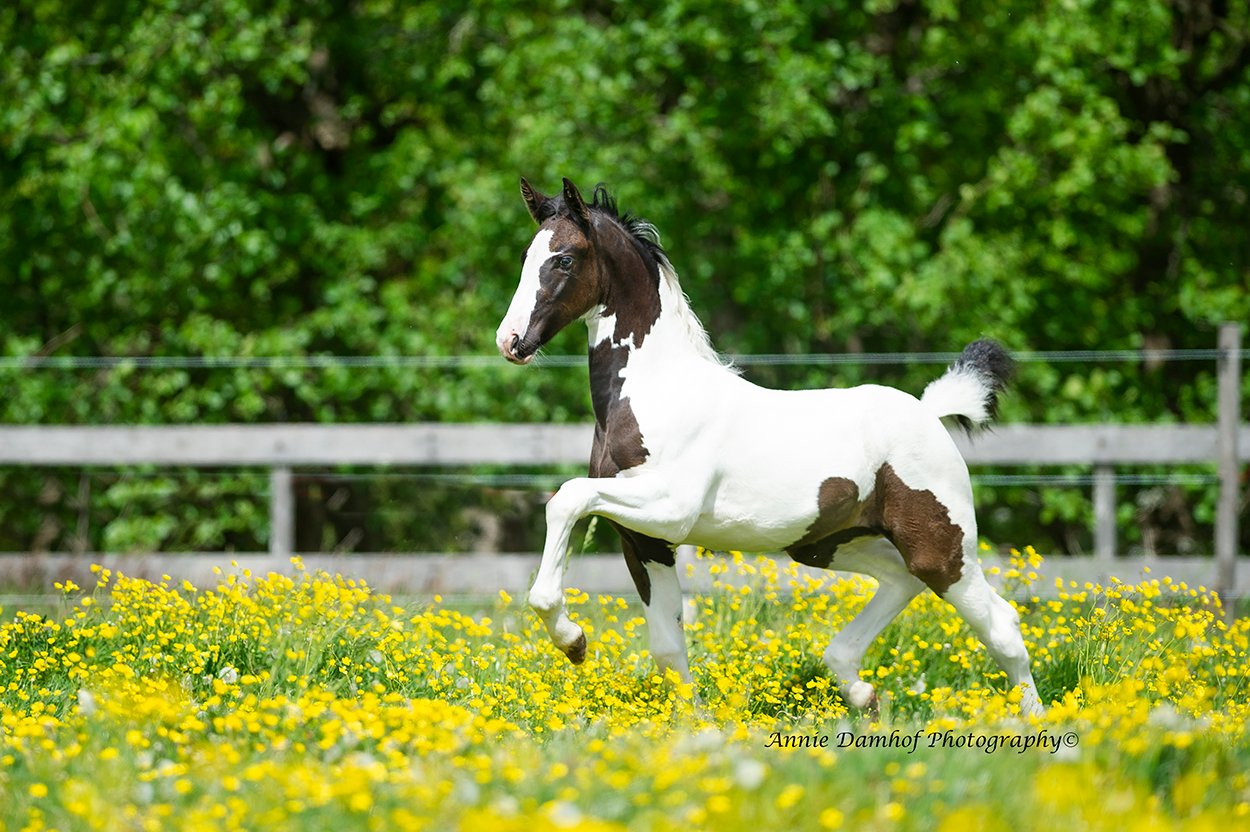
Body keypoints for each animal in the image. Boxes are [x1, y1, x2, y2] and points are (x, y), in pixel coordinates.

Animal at [495, 177, 1043, 717]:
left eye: (565, 259)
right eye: (525, 255)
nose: (511, 341)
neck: (656, 390)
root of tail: (929, 412)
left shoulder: (670, 510)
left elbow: (567, 498)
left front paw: (573, 642)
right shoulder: (643, 540)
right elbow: (667, 645)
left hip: (941, 547)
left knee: (1001, 626)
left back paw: (1036, 723)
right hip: (829, 544)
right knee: (900, 582)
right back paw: (860, 692)